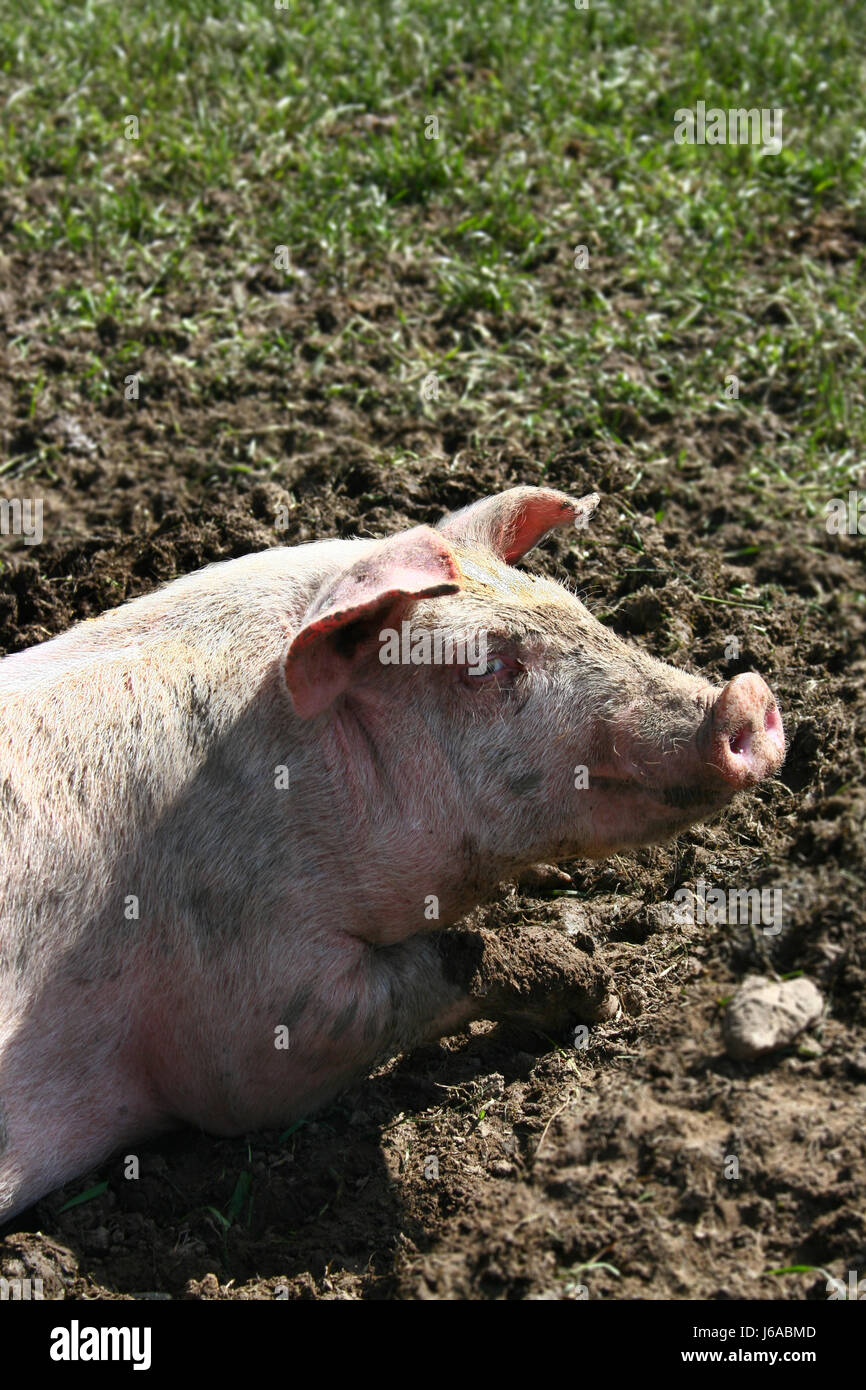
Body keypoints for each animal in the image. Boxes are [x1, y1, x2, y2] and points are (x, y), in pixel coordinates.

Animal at [0, 486, 785, 1221]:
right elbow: (438, 966)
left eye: (576, 607)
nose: (746, 696)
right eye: (482, 667)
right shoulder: (244, 994)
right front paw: (594, 988)